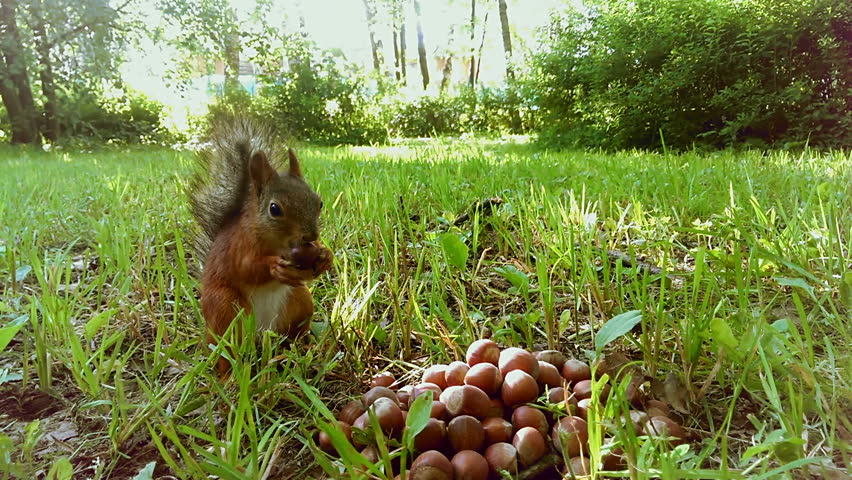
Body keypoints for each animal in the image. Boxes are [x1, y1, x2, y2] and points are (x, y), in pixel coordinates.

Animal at [187, 116, 333, 374]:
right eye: (274, 209)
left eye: (319, 202)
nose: (311, 235)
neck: (279, 244)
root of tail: (263, 330)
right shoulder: (238, 247)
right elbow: (246, 268)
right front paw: (274, 266)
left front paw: (326, 255)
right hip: (226, 309)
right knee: (227, 352)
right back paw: (228, 377)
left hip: (301, 301)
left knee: (292, 336)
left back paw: (303, 350)